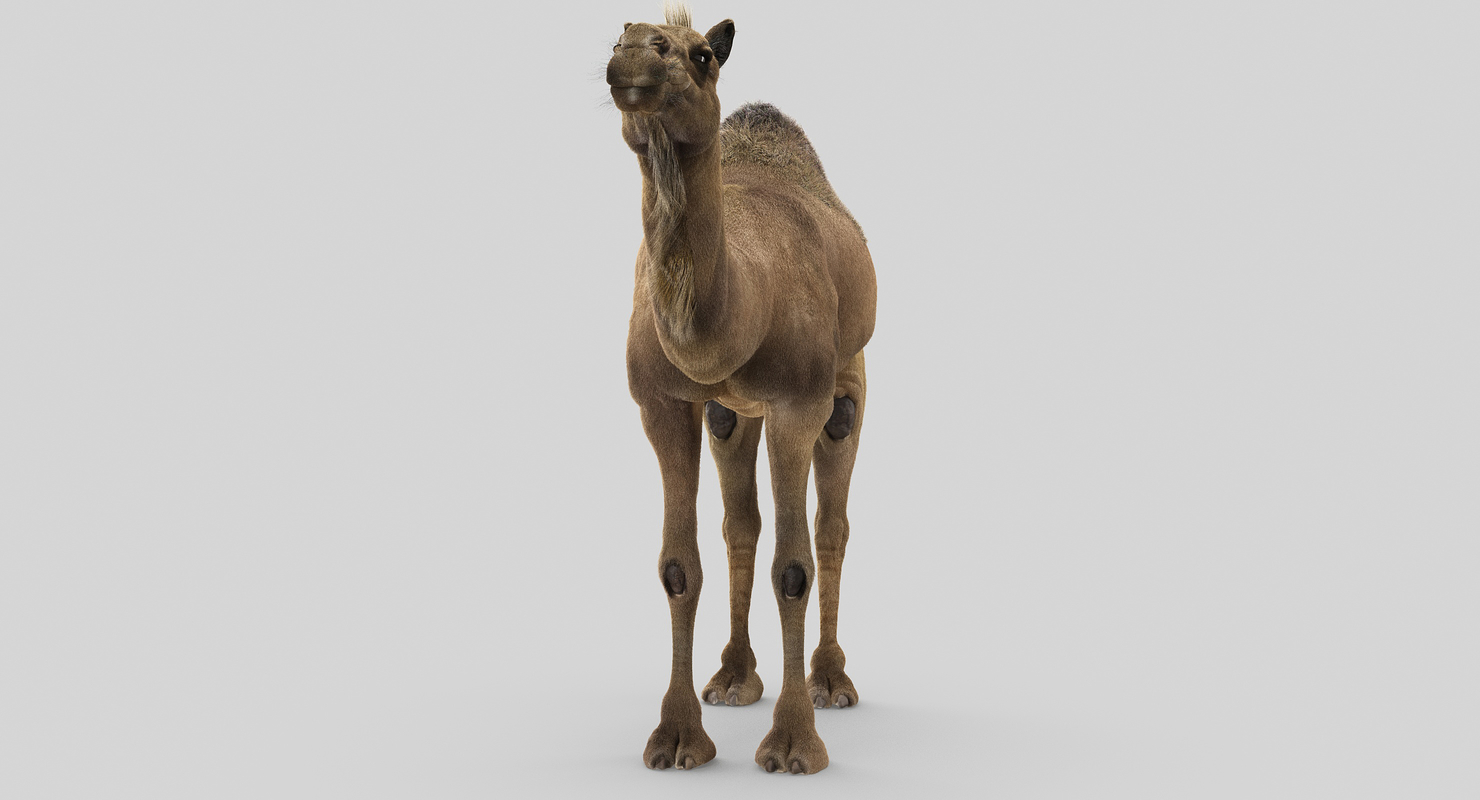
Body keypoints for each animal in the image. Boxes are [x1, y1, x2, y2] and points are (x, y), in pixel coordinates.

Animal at [605, 3, 876, 775]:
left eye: (700, 55)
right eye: (617, 35)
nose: (635, 55)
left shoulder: (798, 402)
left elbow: (796, 566)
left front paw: (792, 745)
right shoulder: (664, 404)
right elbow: (677, 565)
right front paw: (675, 739)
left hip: (849, 380)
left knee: (832, 524)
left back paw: (830, 681)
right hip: (732, 412)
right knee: (740, 522)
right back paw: (731, 675)